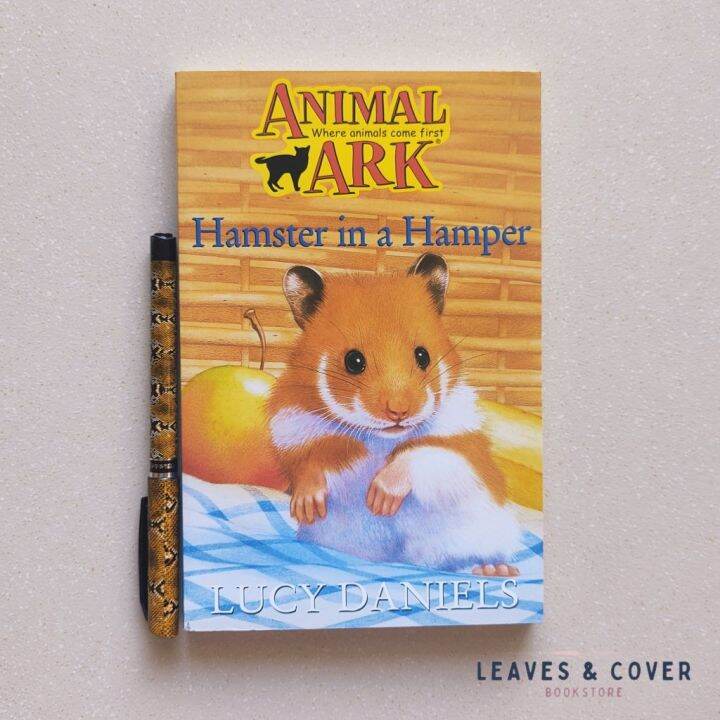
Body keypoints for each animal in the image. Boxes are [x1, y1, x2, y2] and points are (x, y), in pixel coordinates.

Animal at [267, 253, 522, 576]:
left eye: (423, 355)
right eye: (353, 361)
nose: (399, 412)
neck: (380, 438)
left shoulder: (464, 452)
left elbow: (422, 457)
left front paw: (380, 500)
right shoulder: (290, 423)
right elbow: (307, 461)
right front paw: (307, 506)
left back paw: (494, 569)